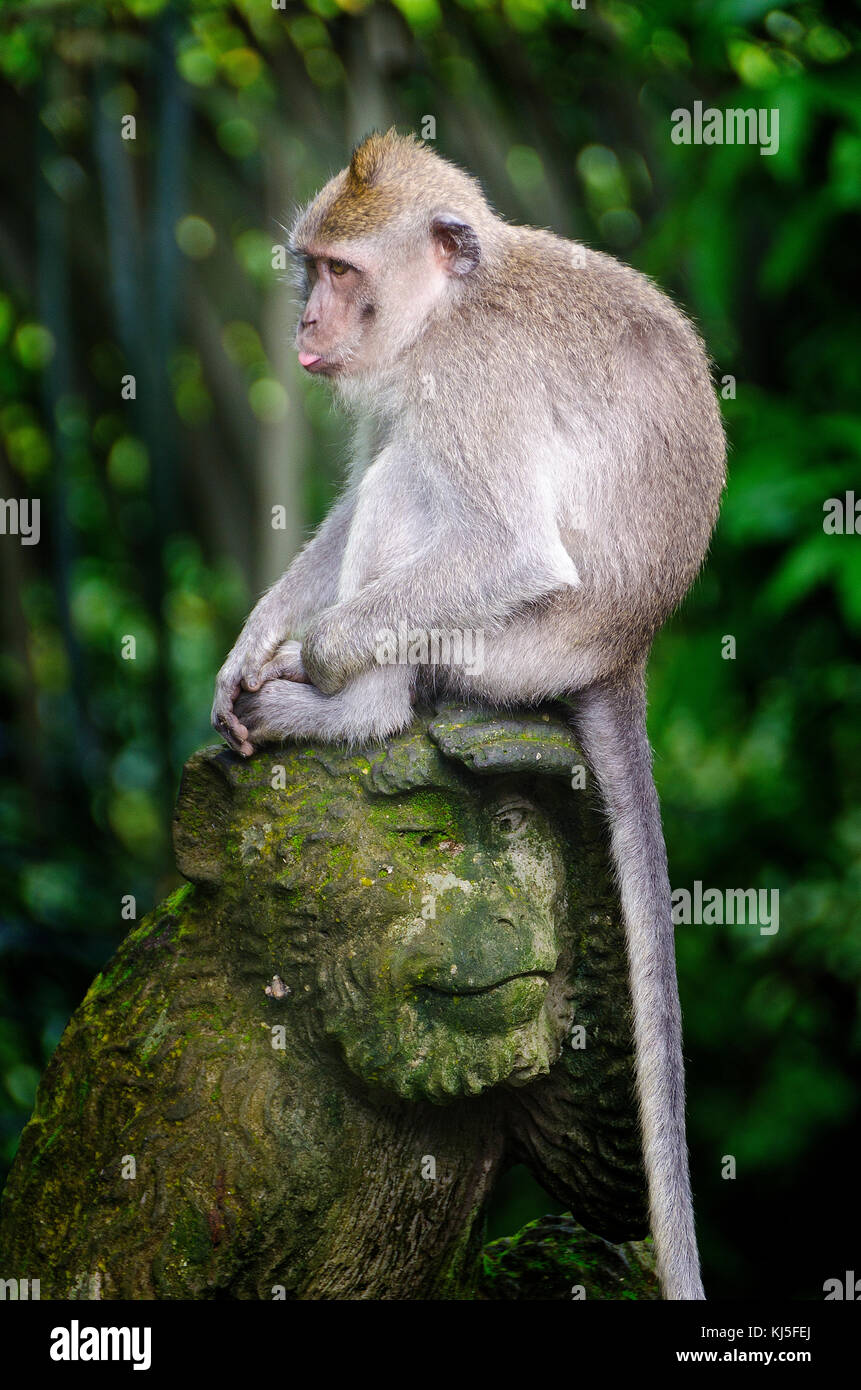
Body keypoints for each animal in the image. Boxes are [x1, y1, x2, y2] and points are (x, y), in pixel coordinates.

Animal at [210, 129, 726, 1300]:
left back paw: (360, 706)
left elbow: (504, 542)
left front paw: (319, 656)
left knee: (421, 490)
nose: (306, 326)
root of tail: (626, 650)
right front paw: (252, 643)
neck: (454, 306)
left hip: (518, 645)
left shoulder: (467, 383)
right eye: (309, 269)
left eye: (341, 272)